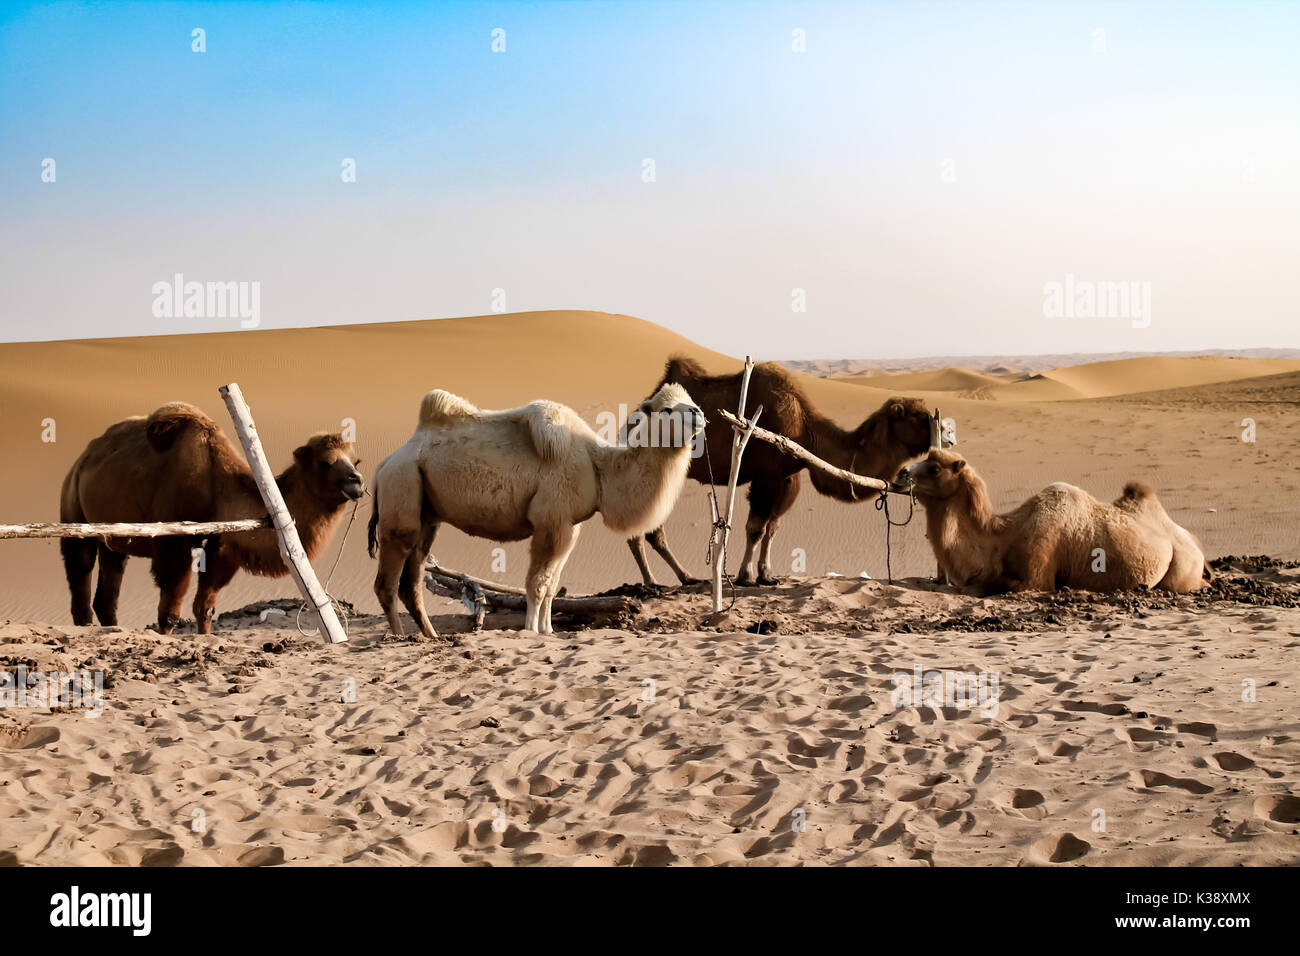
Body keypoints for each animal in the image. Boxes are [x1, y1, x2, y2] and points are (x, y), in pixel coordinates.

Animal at [60, 402, 365, 633]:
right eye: (325, 463)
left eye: (355, 461)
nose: (357, 481)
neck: (217, 488)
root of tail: (82, 458)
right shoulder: (175, 544)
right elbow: (169, 613)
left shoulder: (222, 546)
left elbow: (204, 608)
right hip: (73, 512)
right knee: (80, 572)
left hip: (112, 535)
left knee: (108, 588)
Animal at [368, 383, 705, 638]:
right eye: (665, 409)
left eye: (690, 401)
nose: (698, 413)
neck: (597, 467)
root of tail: (384, 464)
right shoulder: (551, 521)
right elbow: (537, 583)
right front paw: (531, 630)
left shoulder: (570, 525)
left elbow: (553, 585)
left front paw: (547, 630)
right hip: (401, 487)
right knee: (387, 580)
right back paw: (399, 636)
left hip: (426, 512)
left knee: (411, 580)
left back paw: (431, 635)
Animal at [627, 356, 933, 586]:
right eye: (918, 415)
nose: (940, 427)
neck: (807, 431)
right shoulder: (767, 476)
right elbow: (755, 528)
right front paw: (746, 576)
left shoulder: (788, 478)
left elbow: (772, 528)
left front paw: (767, 574)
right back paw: (654, 582)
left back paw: (683, 578)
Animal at [896, 447, 1211, 595]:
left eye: (935, 468)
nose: (901, 473)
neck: (1002, 537)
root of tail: (1195, 544)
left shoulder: (1038, 578)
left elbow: (995, 583)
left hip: (1182, 569)